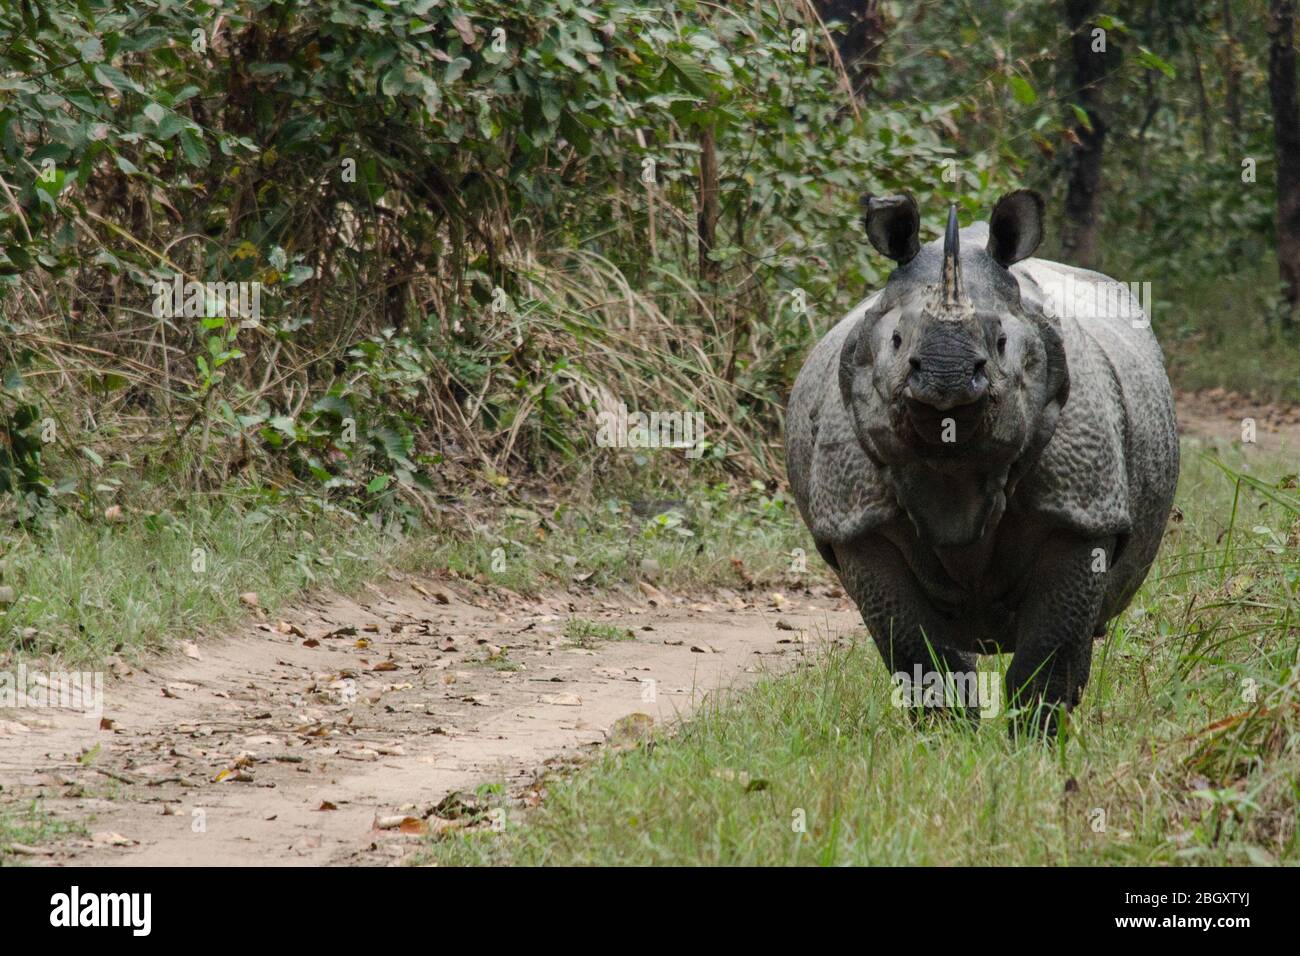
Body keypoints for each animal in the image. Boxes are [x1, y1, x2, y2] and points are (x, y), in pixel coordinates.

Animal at [785, 191, 1179, 732]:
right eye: (895, 341)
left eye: (1002, 343)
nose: (945, 378)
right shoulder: (856, 521)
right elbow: (917, 652)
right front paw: (948, 739)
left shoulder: (1080, 509)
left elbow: (1050, 648)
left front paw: (1035, 741)